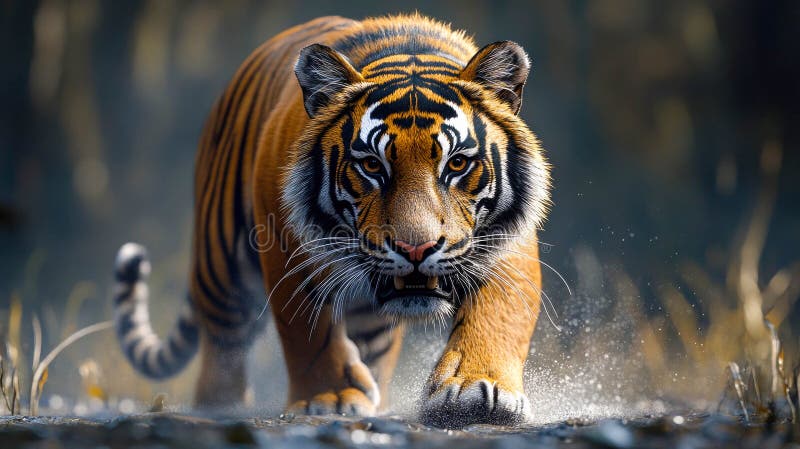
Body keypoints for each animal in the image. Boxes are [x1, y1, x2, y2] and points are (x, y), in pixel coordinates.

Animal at [112, 13, 550, 427]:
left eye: (457, 163)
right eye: (371, 165)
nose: (416, 249)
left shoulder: (506, 245)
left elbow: (498, 315)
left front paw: (477, 390)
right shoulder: (287, 247)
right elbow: (307, 328)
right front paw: (329, 398)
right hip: (220, 273)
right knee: (223, 350)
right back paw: (221, 407)